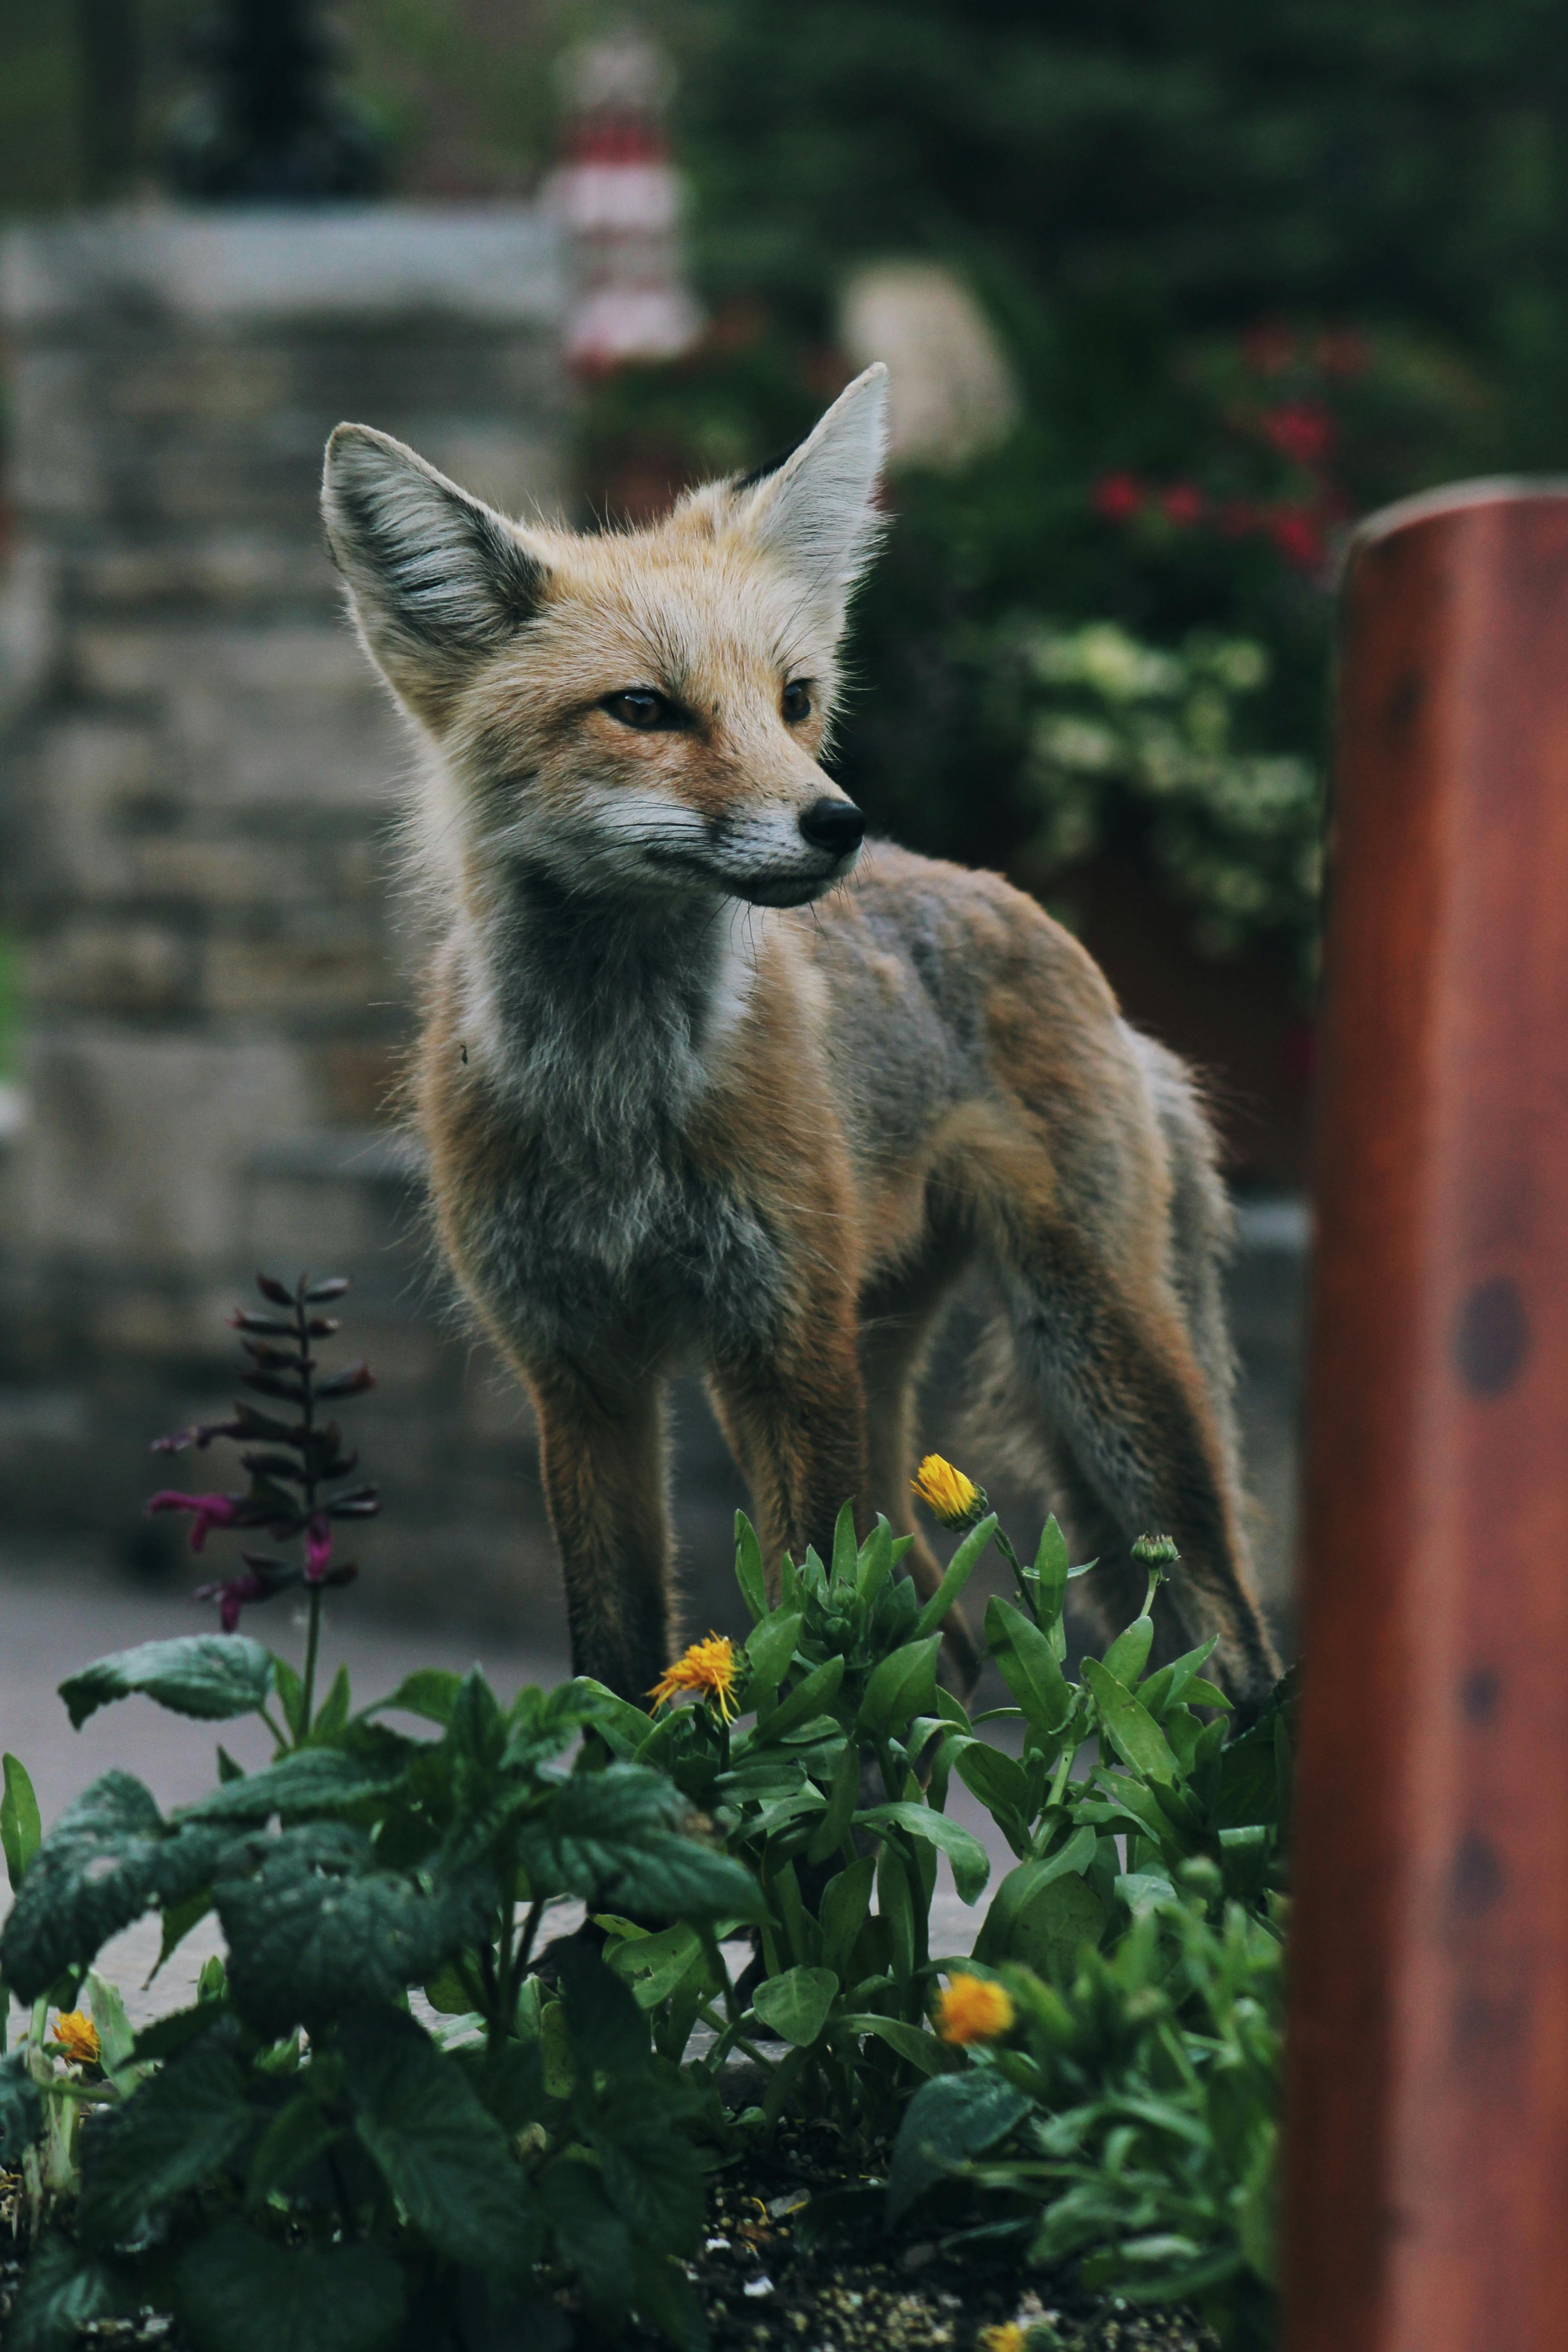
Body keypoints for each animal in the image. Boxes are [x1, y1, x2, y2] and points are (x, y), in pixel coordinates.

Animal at [319, 362, 1279, 1718]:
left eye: (795, 701)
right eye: (643, 709)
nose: (839, 824)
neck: (618, 1099)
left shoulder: (780, 1344)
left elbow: (817, 1679)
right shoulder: (579, 1371)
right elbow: (618, 1665)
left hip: (1094, 1368)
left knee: (1226, 1645)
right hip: (871, 1369)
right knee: (943, 1642)